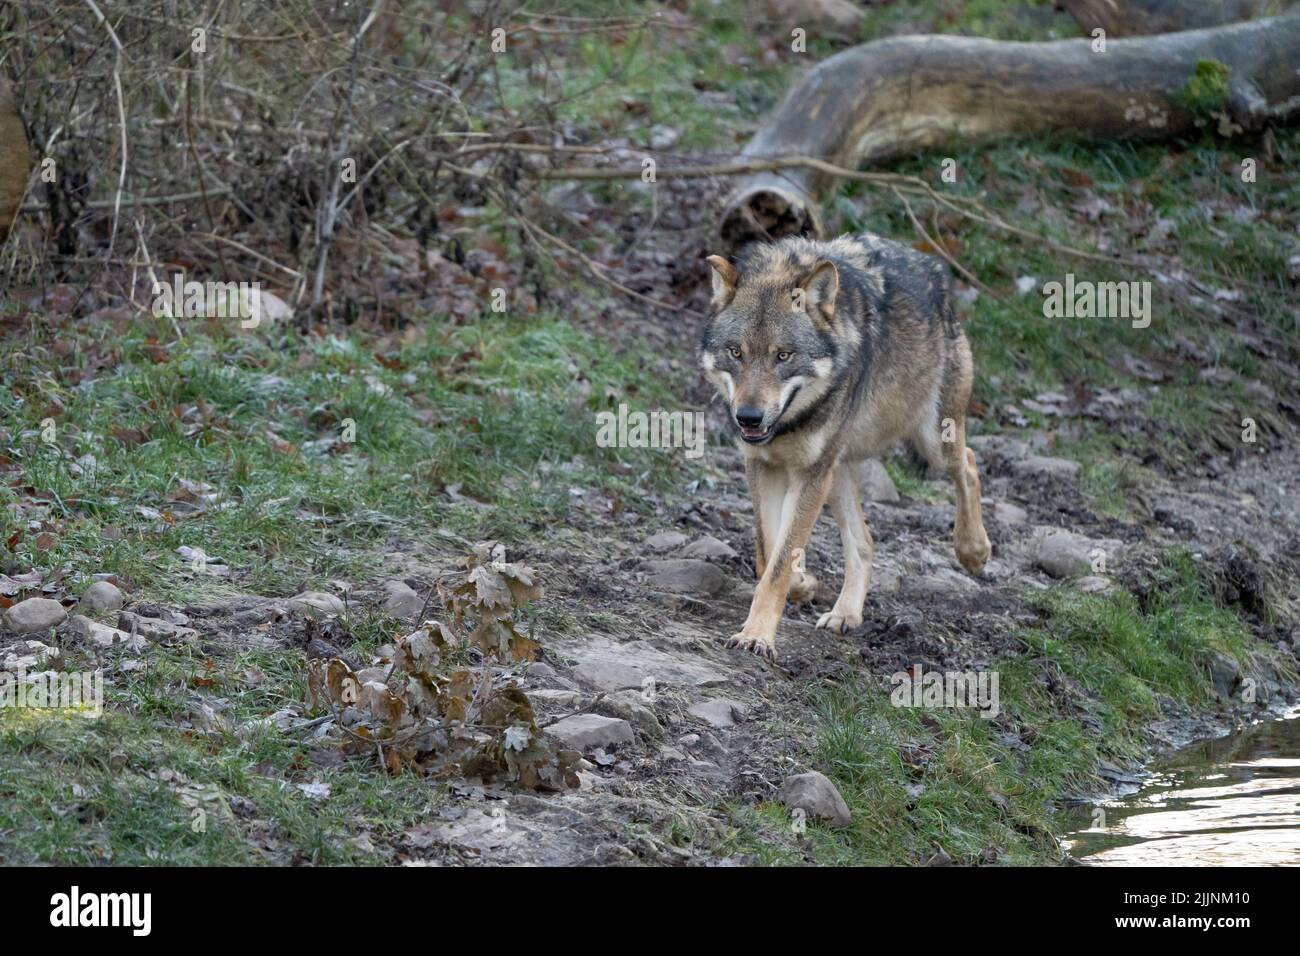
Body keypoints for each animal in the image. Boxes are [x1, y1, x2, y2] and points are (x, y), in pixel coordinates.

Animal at [699, 233, 991, 659]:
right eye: (736, 352)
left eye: (783, 355)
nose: (748, 418)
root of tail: (932, 267)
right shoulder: (762, 465)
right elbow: (770, 551)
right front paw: (801, 585)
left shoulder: (809, 474)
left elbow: (779, 562)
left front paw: (757, 636)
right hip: (837, 472)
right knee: (865, 543)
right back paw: (846, 614)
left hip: (933, 443)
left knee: (968, 464)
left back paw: (973, 550)